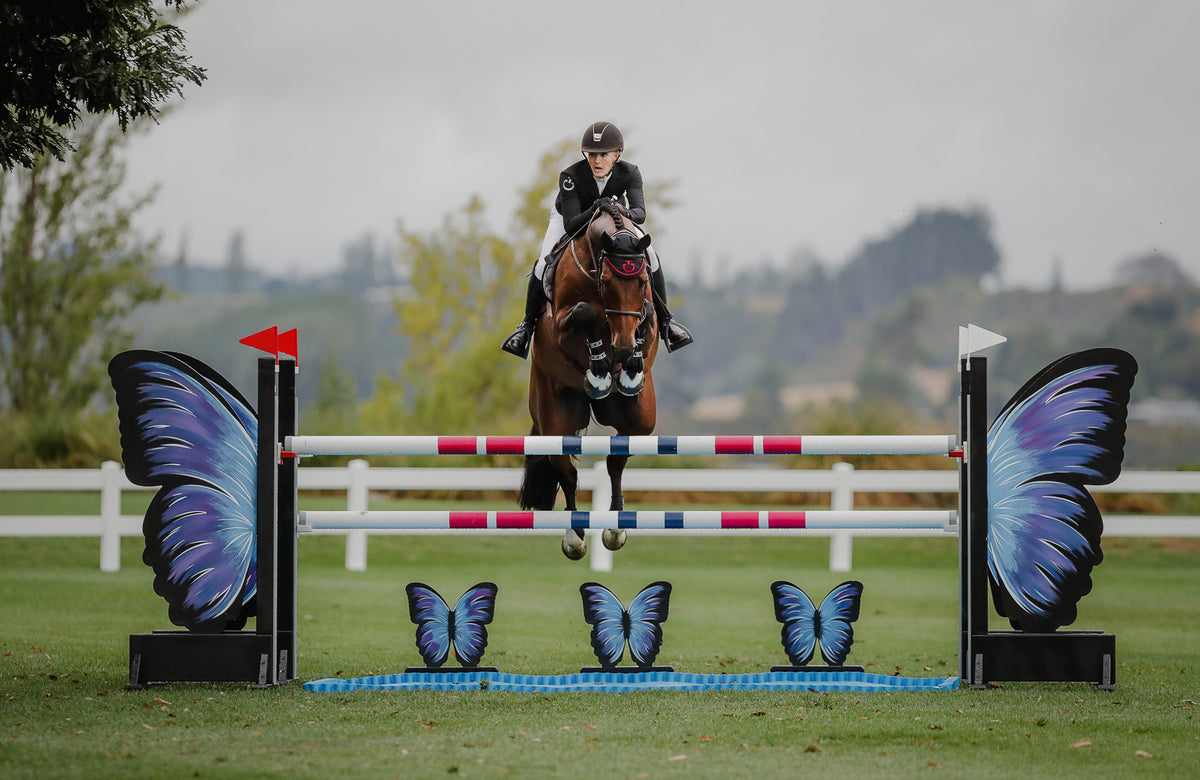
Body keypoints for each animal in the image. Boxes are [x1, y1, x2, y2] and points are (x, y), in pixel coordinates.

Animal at [517, 202, 659, 559]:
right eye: (606, 282)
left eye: (641, 281)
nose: (623, 348)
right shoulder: (560, 324)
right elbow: (586, 312)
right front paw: (599, 365)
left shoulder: (645, 313)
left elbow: (649, 314)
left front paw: (632, 362)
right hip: (554, 418)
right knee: (567, 472)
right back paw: (575, 537)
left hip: (639, 419)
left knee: (616, 460)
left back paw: (616, 528)